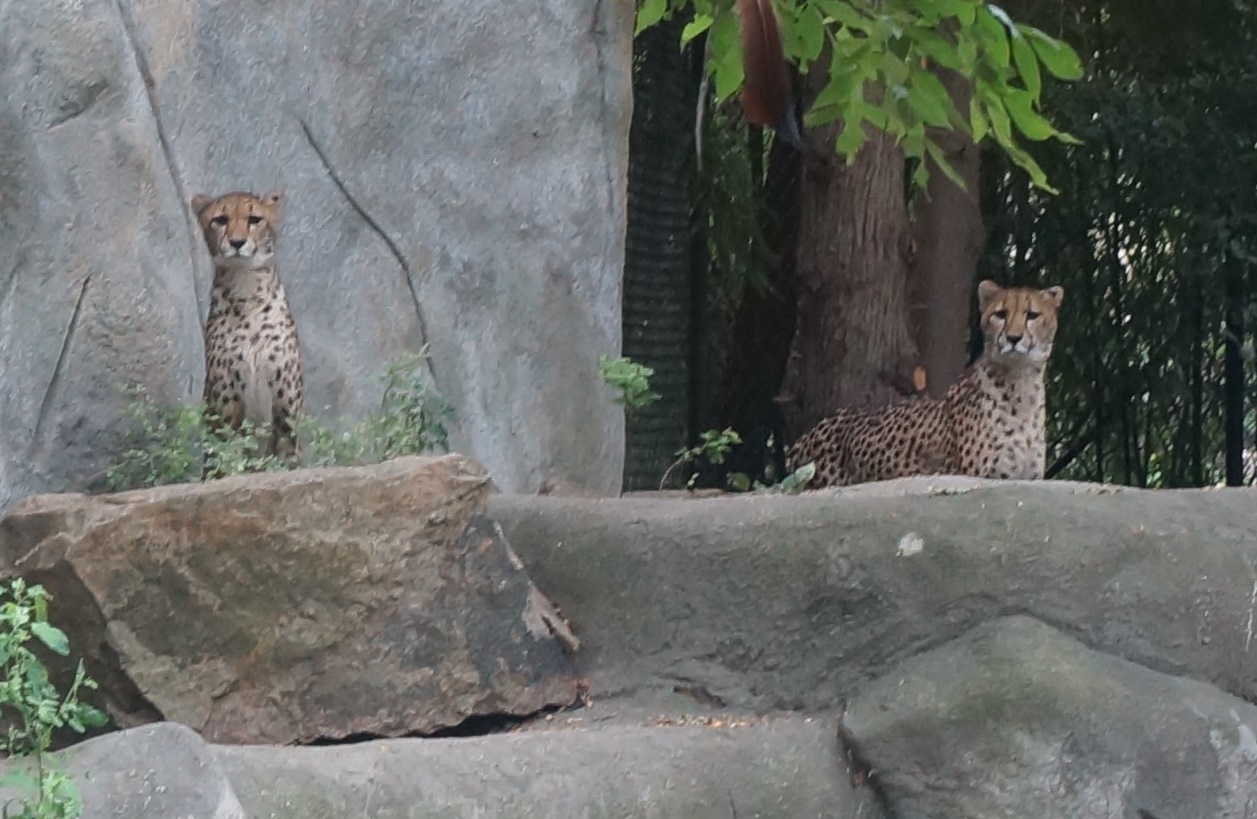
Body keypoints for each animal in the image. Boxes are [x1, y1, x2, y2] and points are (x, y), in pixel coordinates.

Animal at [191, 190, 305, 463]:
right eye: (221, 220)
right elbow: (230, 456)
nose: (237, 242)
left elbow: (286, 457)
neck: (246, 289)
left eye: (255, 219)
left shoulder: (285, 407)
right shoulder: (228, 404)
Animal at [787, 280, 1064, 489]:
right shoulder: (987, 476)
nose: (1013, 338)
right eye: (1000, 314)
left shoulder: (1028, 478)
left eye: (1032, 315)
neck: (1021, 386)